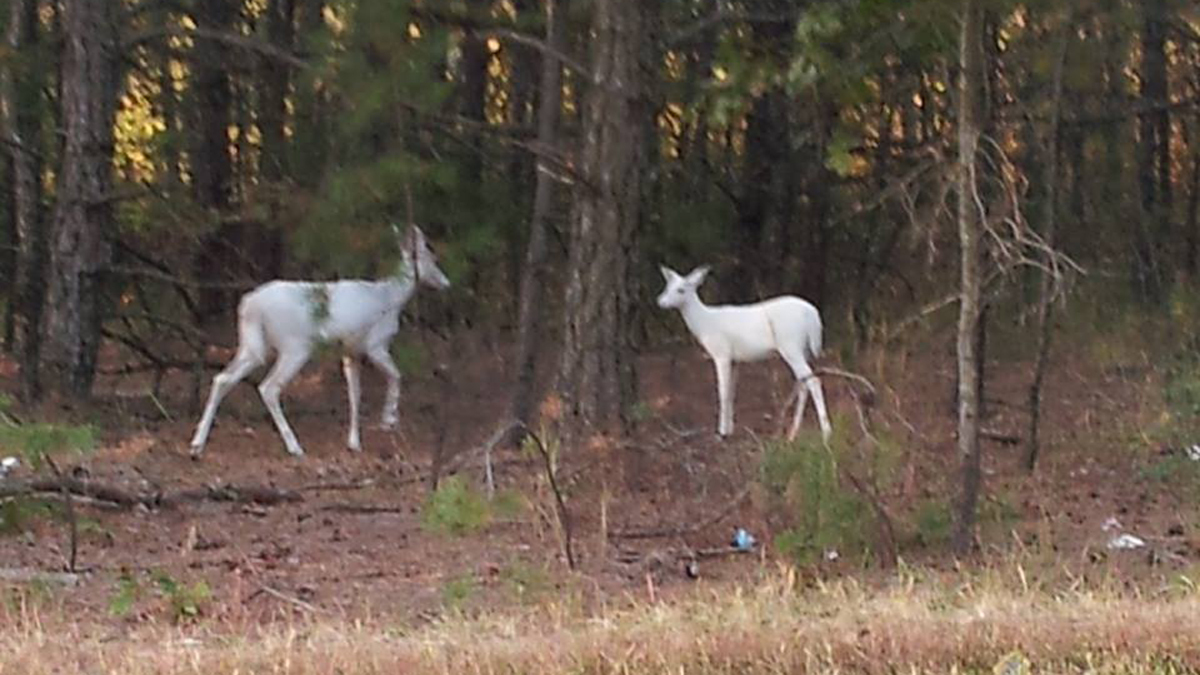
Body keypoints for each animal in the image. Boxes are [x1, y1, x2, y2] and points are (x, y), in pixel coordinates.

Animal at [189, 225, 451, 458]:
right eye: (431, 257)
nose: (446, 283)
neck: (391, 298)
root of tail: (250, 305)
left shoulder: (351, 352)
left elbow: (355, 394)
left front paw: (354, 443)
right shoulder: (375, 344)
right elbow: (396, 375)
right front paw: (389, 420)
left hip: (252, 345)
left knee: (222, 378)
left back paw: (197, 445)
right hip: (295, 346)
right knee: (269, 387)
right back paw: (295, 447)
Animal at [656, 265, 831, 442]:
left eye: (681, 290)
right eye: (667, 286)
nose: (660, 301)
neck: (705, 323)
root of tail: (813, 316)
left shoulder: (722, 353)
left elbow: (722, 392)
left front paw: (721, 433)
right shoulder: (735, 360)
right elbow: (731, 392)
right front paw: (729, 429)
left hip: (791, 345)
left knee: (813, 381)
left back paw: (826, 433)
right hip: (804, 349)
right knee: (804, 382)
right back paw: (793, 432)